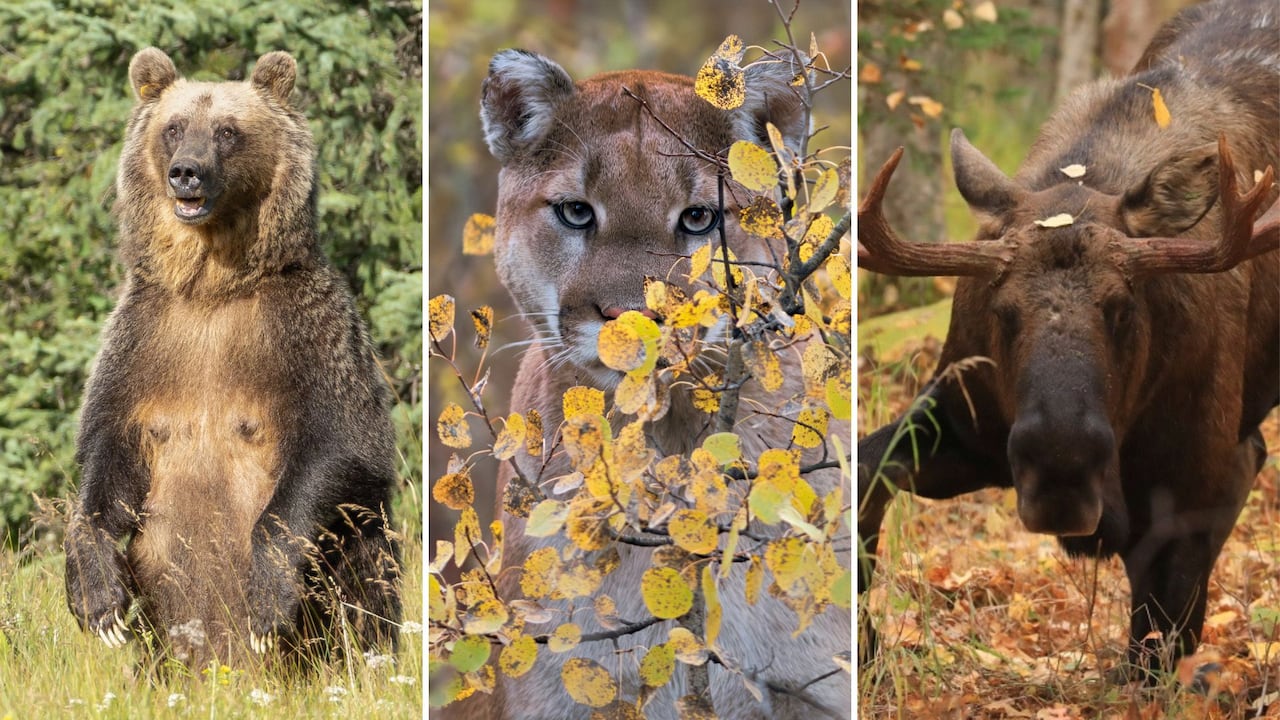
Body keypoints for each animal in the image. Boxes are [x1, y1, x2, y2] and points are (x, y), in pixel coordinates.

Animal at [63, 47, 401, 671]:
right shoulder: (143, 337)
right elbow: (106, 452)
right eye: (174, 127)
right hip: (162, 618)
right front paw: (99, 604)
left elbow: (340, 442)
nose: (187, 172)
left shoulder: (306, 333)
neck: (213, 285)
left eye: (227, 130)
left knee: (362, 561)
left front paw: (265, 607)